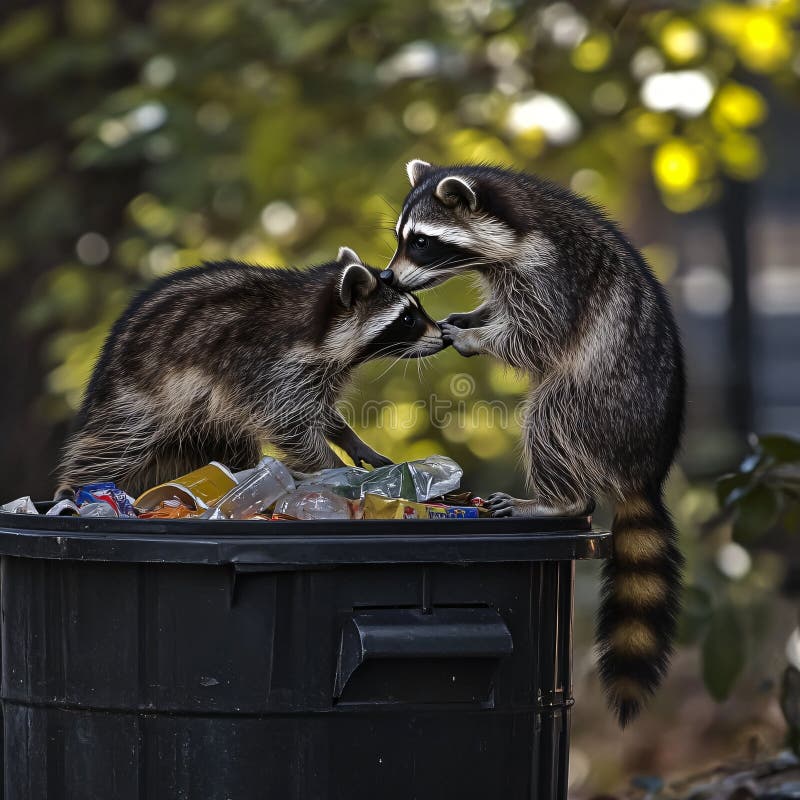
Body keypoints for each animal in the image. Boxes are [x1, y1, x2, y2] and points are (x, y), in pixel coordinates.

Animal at [55, 247, 444, 499]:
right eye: (406, 318)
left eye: (417, 308)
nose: (443, 335)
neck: (318, 326)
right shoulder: (265, 366)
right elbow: (291, 424)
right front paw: (334, 469)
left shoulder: (318, 372)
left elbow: (319, 410)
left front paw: (346, 436)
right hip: (139, 396)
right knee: (116, 445)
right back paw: (75, 491)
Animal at [383, 160, 686, 726]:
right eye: (400, 238)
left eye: (423, 242)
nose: (387, 276)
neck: (516, 225)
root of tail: (647, 469)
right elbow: (502, 311)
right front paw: (477, 318)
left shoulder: (551, 273)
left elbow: (537, 336)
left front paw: (477, 337)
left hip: (601, 402)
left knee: (550, 412)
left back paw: (560, 500)